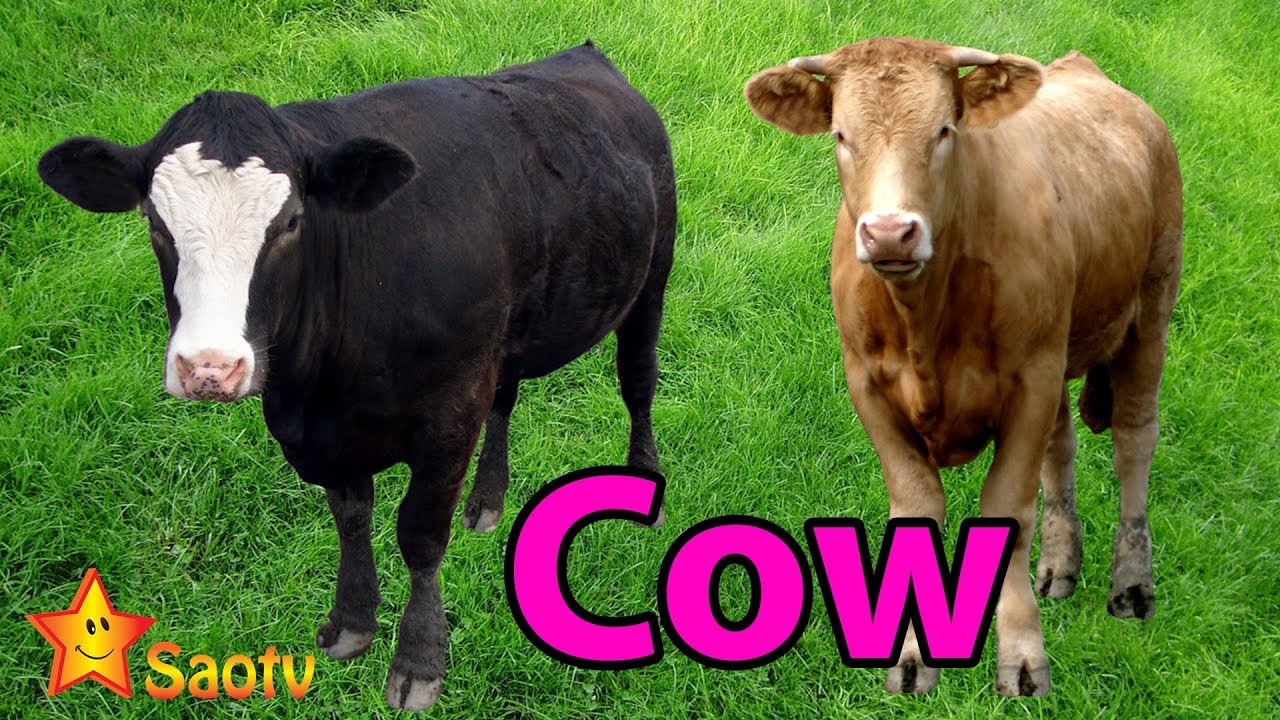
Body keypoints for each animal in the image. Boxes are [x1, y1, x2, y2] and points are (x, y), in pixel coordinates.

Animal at [37, 42, 676, 710]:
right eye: (154, 223)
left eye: (292, 221)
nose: (209, 367)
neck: (321, 388)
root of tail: (585, 57)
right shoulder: (327, 435)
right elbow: (351, 517)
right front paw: (352, 624)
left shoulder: (449, 413)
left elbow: (420, 535)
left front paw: (419, 662)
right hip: (513, 332)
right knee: (507, 396)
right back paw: (487, 500)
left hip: (652, 274)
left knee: (637, 381)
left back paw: (645, 483)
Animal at [744, 37, 1181, 696]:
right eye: (841, 134)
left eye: (944, 130)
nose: (890, 233)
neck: (923, 322)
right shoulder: (868, 384)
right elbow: (918, 503)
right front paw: (910, 657)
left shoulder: (1029, 381)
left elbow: (1008, 510)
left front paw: (1022, 655)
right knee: (1063, 445)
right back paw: (1060, 565)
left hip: (1151, 307)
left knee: (1135, 438)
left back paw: (1130, 583)